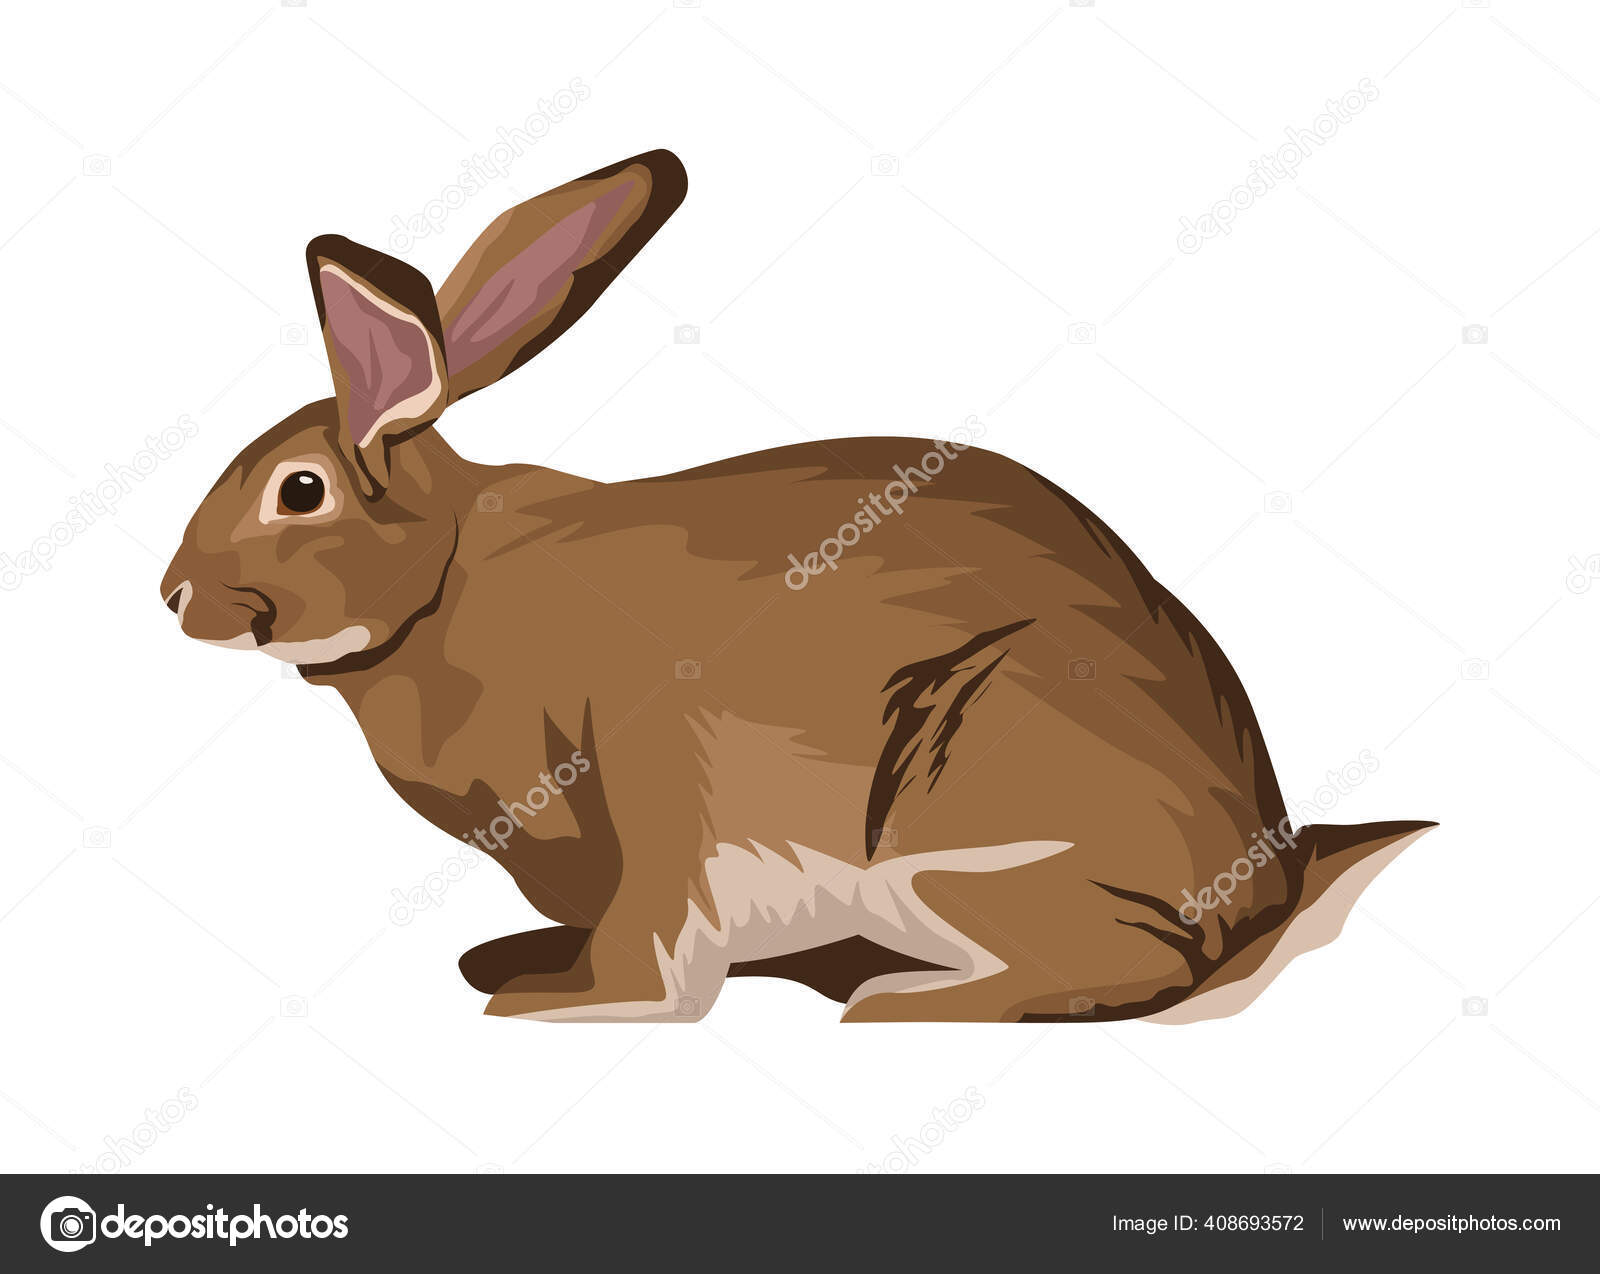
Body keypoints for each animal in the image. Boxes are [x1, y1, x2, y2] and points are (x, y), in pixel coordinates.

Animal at [161, 150, 1432, 1023]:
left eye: (299, 491)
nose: (173, 596)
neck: (446, 582)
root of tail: (1258, 877)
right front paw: (513, 966)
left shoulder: (656, 780)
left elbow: (652, 934)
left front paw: (565, 1001)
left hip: (966, 815)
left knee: (1121, 963)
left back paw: (901, 1002)